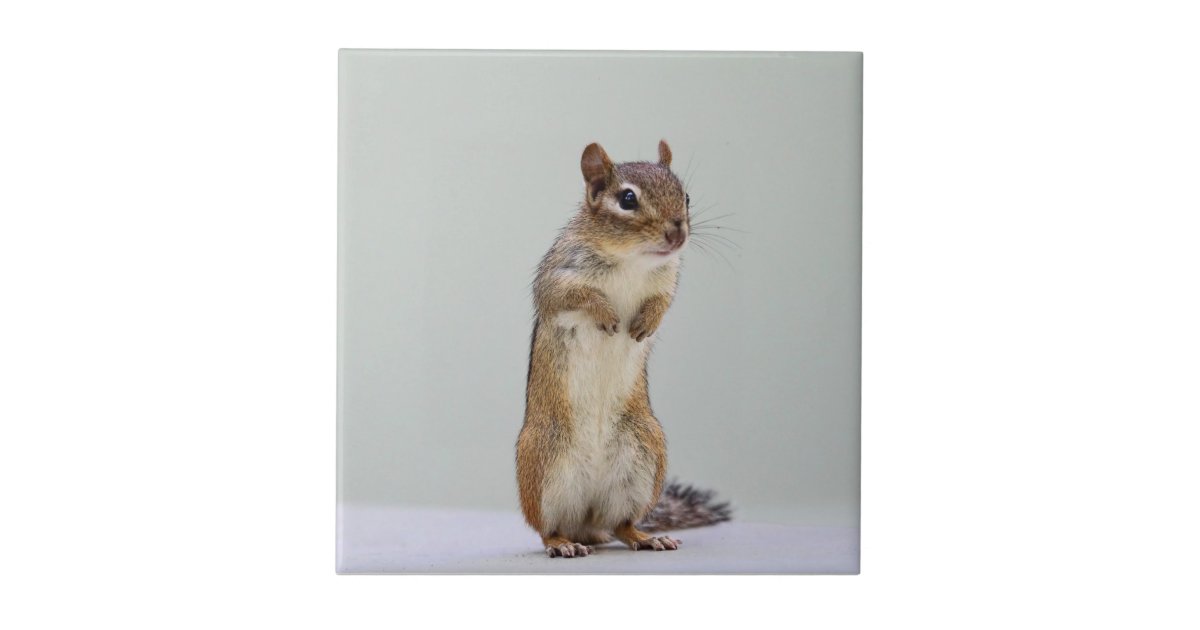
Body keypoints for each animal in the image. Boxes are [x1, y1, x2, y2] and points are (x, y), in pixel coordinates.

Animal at [516, 140, 730, 558]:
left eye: (686, 196)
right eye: (627, 199)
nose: (677, 232)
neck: (632, 259)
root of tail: (586, 521)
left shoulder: (667, 281)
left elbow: (662, 303)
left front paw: (645, 323)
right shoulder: (559, 273)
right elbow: (571, 295)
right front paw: (605, 313)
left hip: (644, 455)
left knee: (622, 523)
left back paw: (647, 537)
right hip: (543, 461)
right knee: (547, 528)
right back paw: (561, 544)